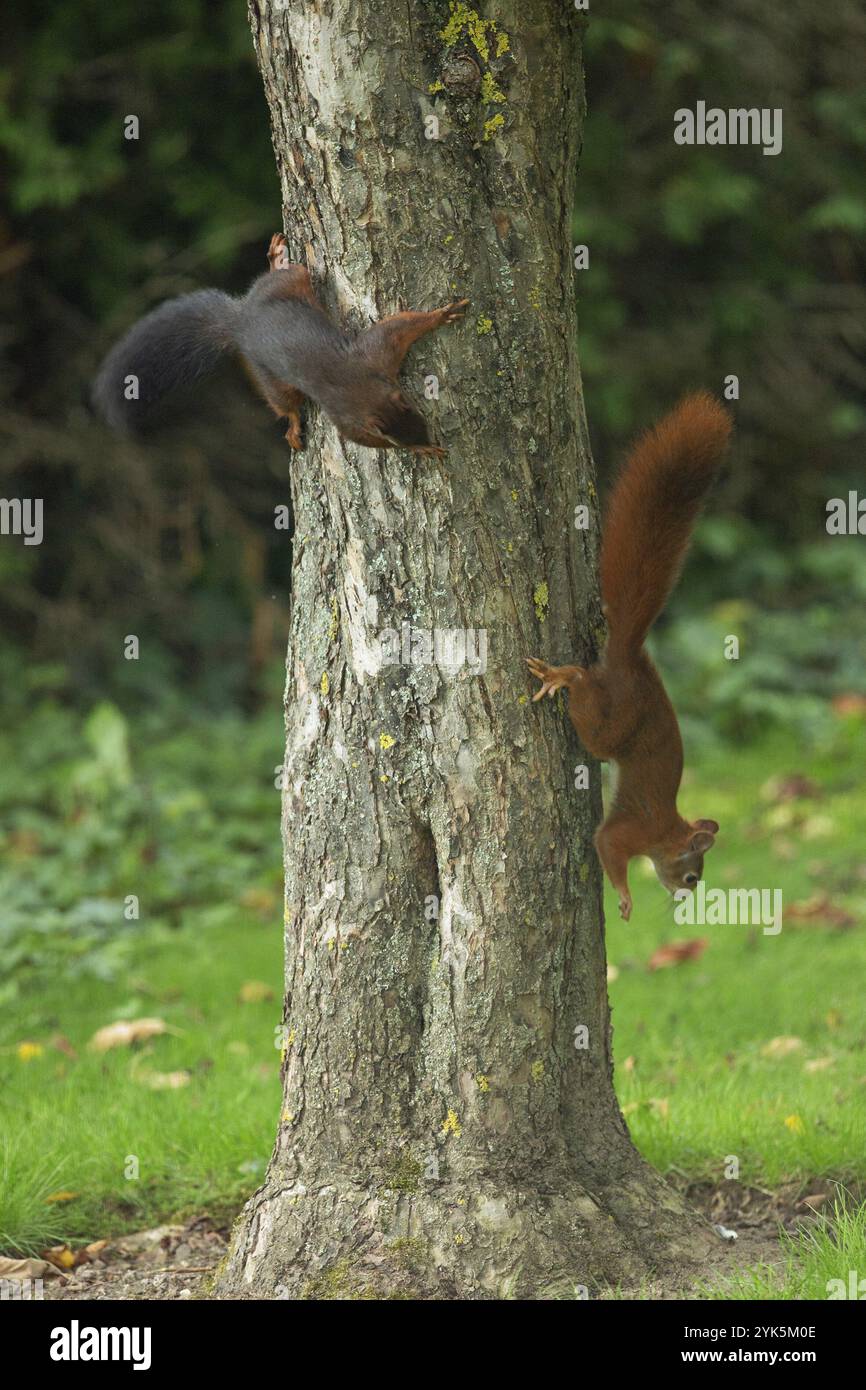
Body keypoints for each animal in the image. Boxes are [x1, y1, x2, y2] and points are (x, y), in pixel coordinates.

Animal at [93, 233, 469, 455]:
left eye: (418, 415)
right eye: (397, 437)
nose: (426, 440)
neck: (360, 391)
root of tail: (241, 322)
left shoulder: (375, 364)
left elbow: (401, 327)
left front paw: (440, 315)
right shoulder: (358, 390)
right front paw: (420, 451)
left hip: (283, 292)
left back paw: (276, 256)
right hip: (271, 371)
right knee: (283, 402)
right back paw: (291, 424)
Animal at [527, 392, 732, 921]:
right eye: (692, 876)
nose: (683, 898)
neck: (668, 832)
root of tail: (630, 659)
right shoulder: (631, 832)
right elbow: (607, 845)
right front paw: (623, 897)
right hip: (610, 726)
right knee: (585, 692)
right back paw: (564, 677)